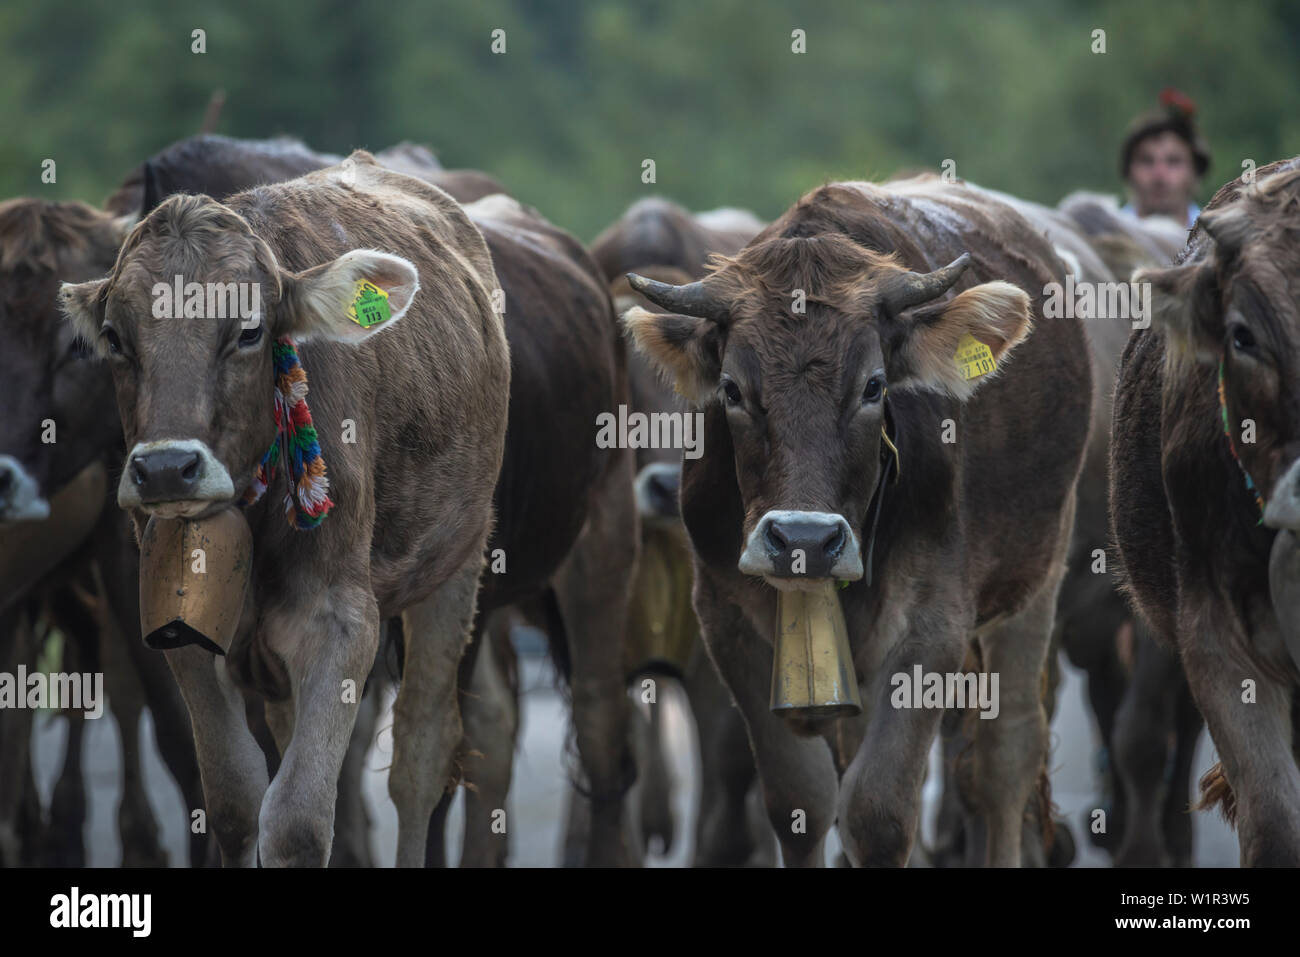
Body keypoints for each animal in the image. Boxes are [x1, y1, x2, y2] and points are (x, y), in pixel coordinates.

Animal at [59, 152, 511, 867]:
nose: (166, 468)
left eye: (248, 330)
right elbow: (237, 800)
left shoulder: (339, 618)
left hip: (458, 564)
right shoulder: (181, 623)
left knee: (420, 758)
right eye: (114, 337)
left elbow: (298, 817)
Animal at [624, 176, 1092, 866]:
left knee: (1006, 760)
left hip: (1036, 583)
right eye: (732, 390)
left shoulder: (932, 628)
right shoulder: (728, 623)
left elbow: (877, 812)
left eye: (874, 387)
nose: (805, 541)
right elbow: (801, 800)